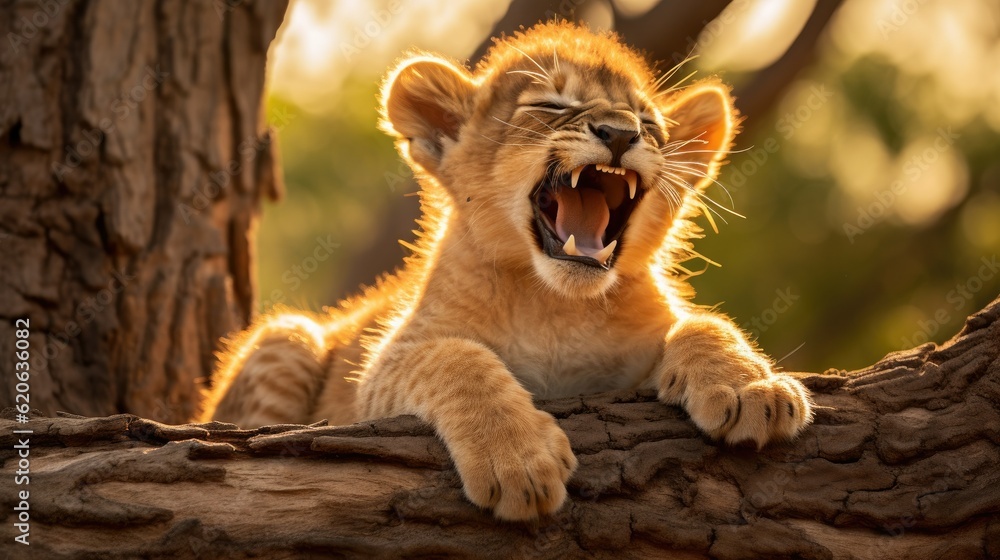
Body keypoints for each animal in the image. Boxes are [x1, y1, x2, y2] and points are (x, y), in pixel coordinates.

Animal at [200, 21, 814, 521]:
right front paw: (516, 461)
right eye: (550, 103)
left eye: (648, 121)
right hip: (287, 337)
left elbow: (705, 323)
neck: (557, 306)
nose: (620, 134)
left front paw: (751, 386)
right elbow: (457, 357)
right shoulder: (379, 375)